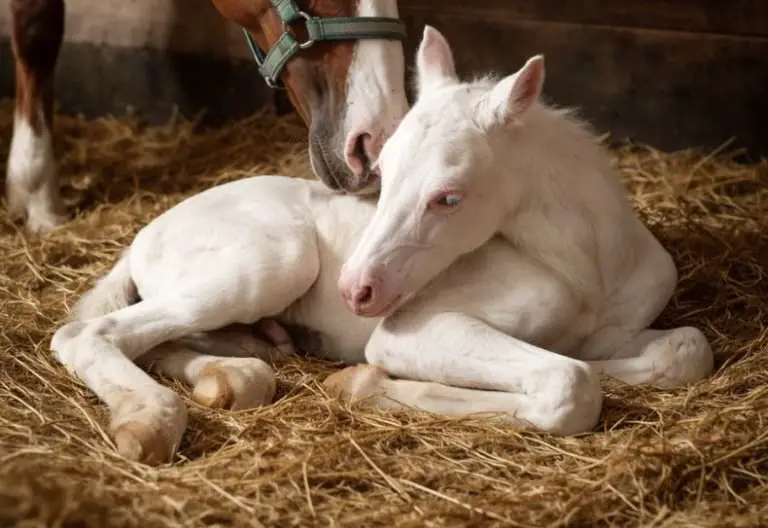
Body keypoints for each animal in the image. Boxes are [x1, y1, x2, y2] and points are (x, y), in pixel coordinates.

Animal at [50, 26, 715, 466]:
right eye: (385, 170)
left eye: (449, 196)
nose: (355, 291)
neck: (586, 269)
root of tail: (142, 235)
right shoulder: (412, 329)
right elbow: (567, 386)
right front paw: (363, 385)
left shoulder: (619, 328)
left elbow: (683, 350)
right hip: (272, 264)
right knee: (88, 333)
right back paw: (153, 423)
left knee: (161, 339)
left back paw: (235, 373)